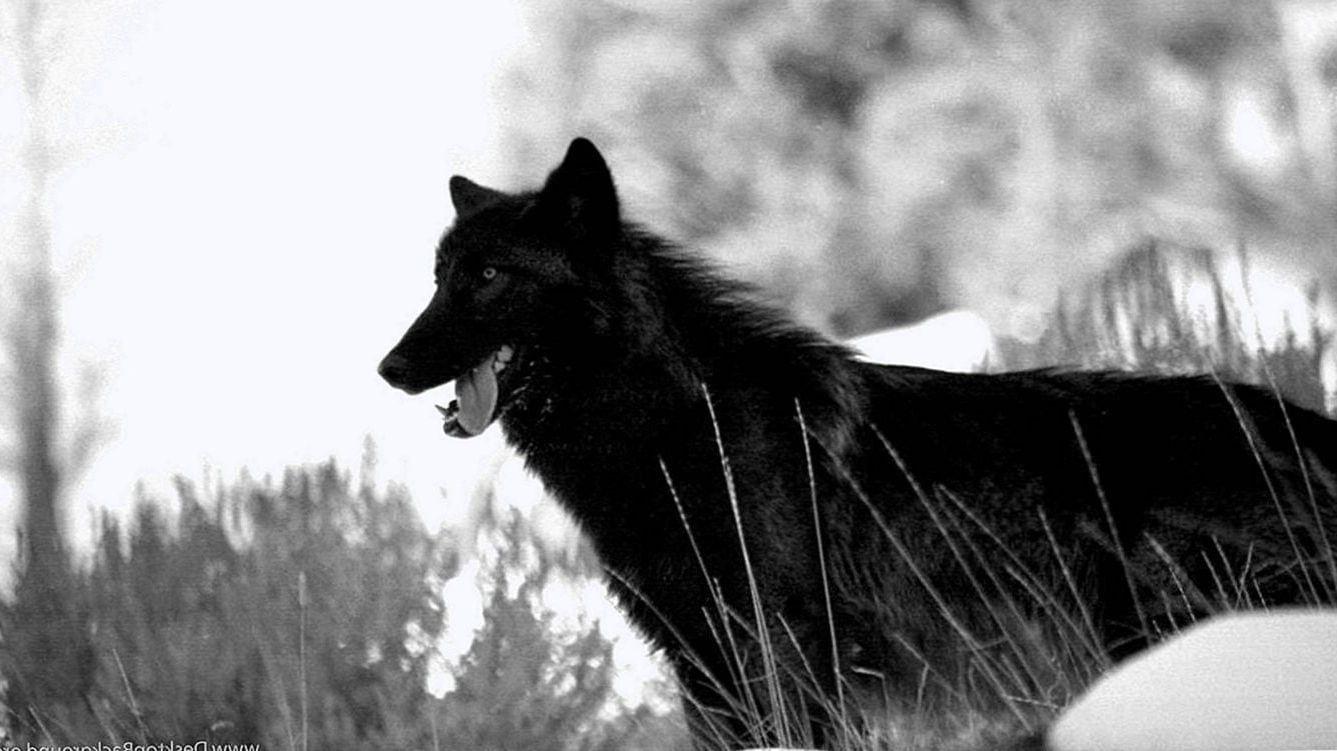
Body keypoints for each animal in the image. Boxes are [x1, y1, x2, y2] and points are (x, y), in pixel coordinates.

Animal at [379, 138, 1337, 749]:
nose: (387, 368)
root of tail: (1295, 420)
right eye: (436, 278)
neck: (679, 425)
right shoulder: (703, 663)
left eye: (488, 275)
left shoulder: (784, 653)